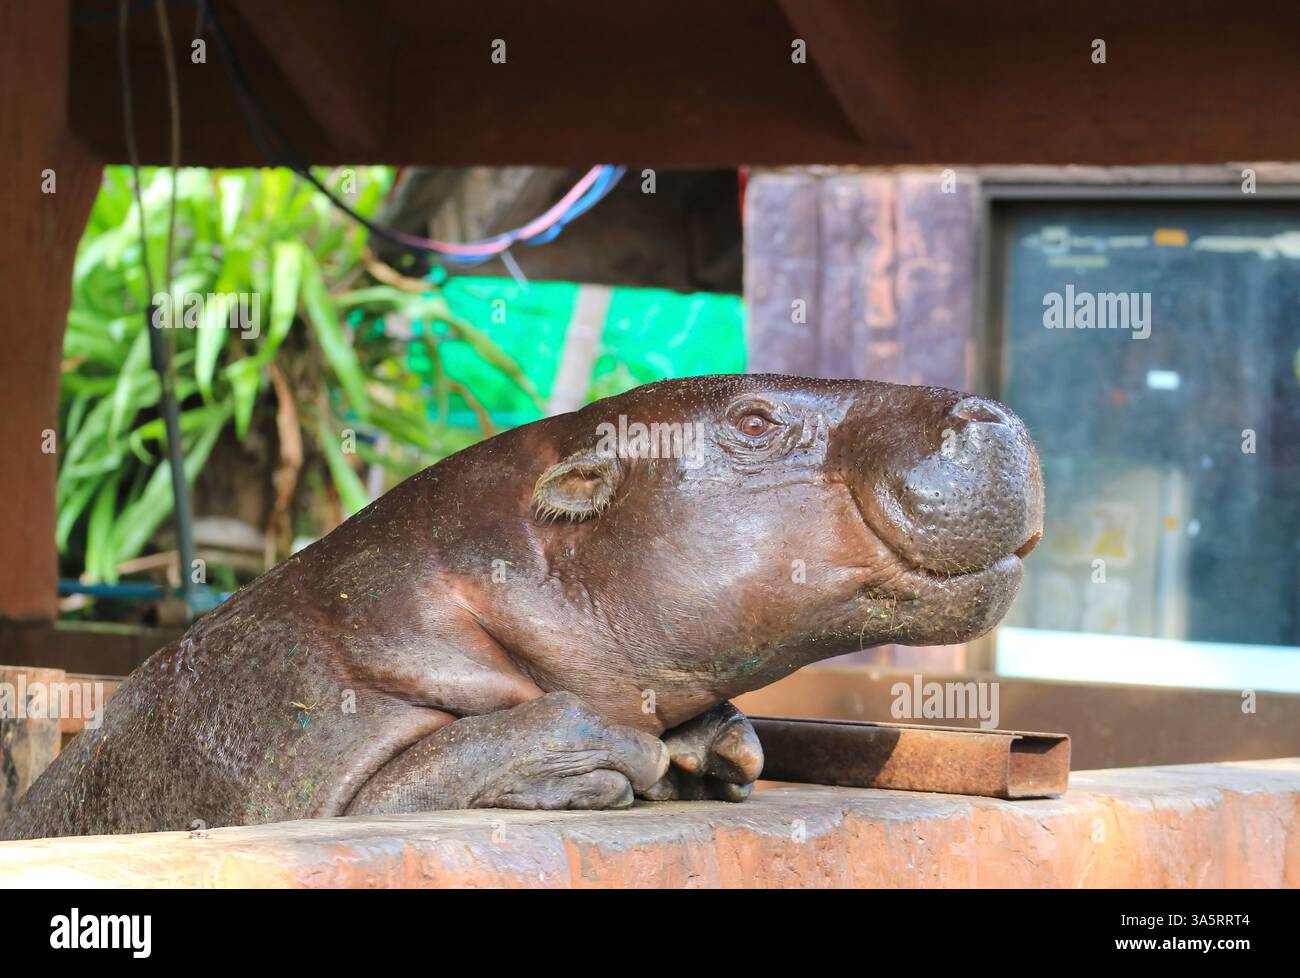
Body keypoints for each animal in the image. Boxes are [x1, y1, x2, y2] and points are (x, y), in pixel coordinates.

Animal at [1, 374, 1042, 840]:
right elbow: (419, 773)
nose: (989, 411)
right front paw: (633, 761)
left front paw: (717, 748)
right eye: (752, 420)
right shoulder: (303, 757)